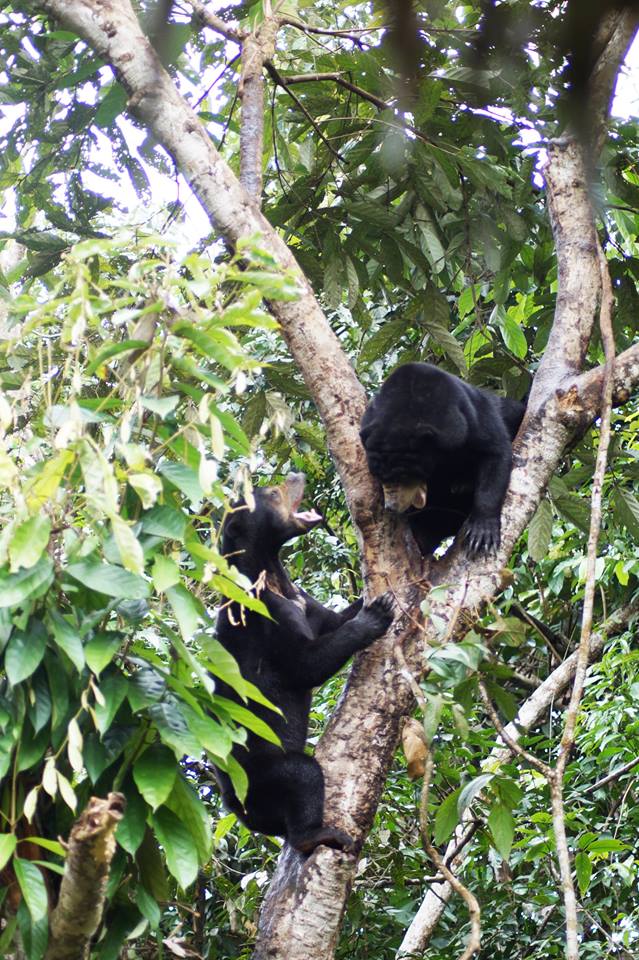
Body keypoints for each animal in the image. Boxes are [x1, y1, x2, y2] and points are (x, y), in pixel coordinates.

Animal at [213, 472, 395, 854]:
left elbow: (332, 621)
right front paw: (376, 614)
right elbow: (305, 664)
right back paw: (320, 835)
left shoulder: (302, 599)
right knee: (303, 776)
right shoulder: (265, 614)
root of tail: (236, 809)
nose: (297, 474)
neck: (271, 573)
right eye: (271, 492)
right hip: (264, 775)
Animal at [359, 362, 527, 557]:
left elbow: (495, 450)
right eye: (380, 477)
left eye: (404, 476)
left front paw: (482, 530)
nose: (392, 506)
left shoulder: (468, 414)